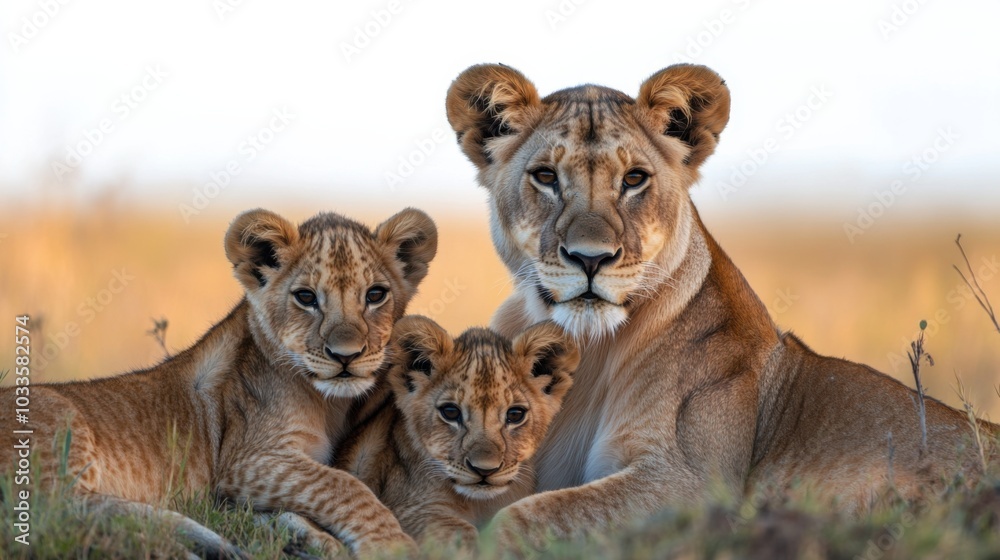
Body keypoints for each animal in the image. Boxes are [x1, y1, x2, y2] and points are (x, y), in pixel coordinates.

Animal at [0, 208, 437, 558]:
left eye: (376, 295)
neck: (329, 403)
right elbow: (342, 485)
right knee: (65, 512)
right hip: (55, 421)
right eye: (306, 297)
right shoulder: (246, 460)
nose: (345, 355)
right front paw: (394, 544)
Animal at [444, 63, 999, 548]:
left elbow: (526, 516)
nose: (590, 258)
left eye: (634, 179)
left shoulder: (691, 482)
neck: (590, 348)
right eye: (545, 176)